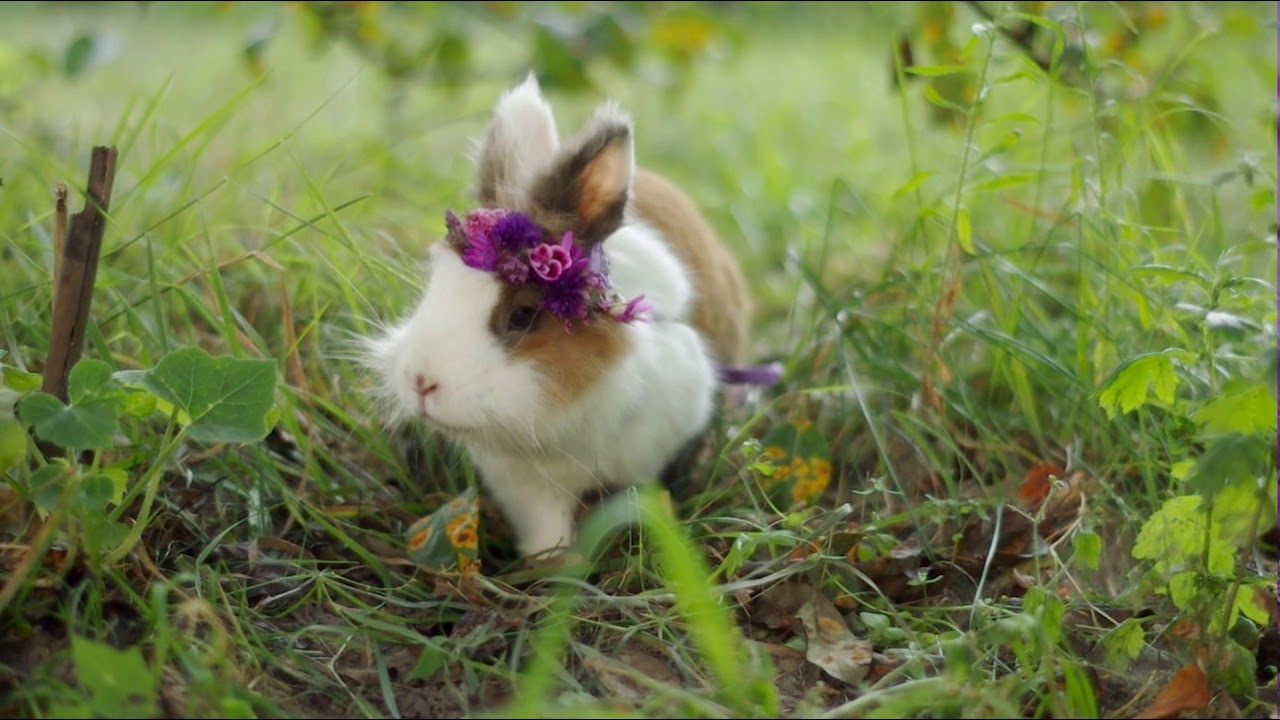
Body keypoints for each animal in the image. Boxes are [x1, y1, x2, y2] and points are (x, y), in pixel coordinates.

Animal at [366, 74, 754, 558]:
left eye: (522, 316)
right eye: (432, 286)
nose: (421, 381)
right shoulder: (525, 486)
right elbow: (546, 526)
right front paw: (552, 562)